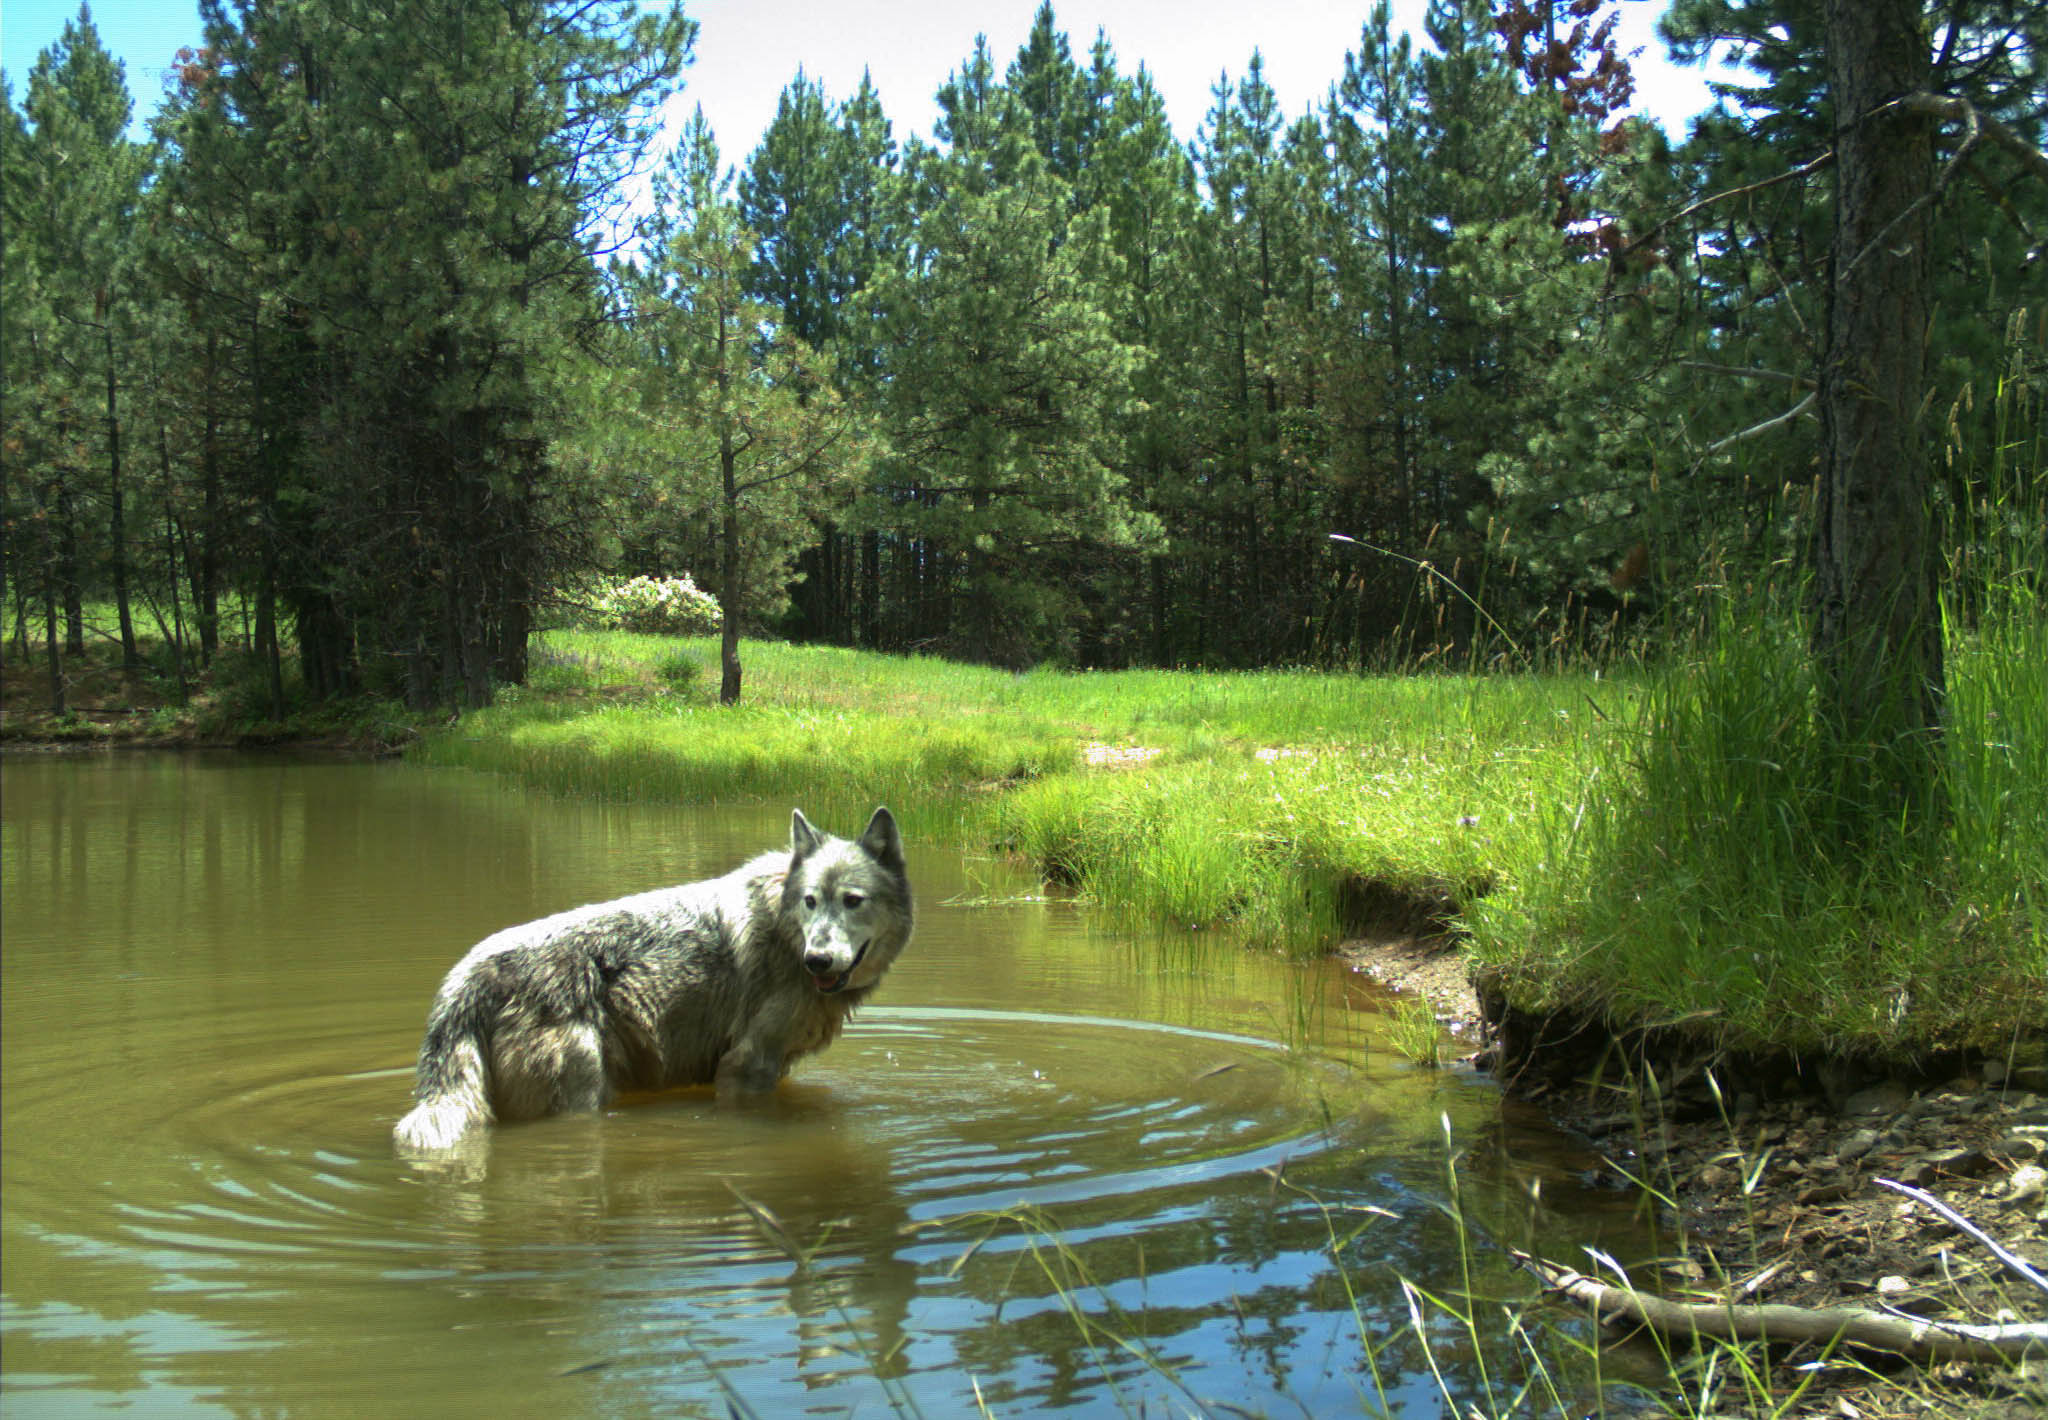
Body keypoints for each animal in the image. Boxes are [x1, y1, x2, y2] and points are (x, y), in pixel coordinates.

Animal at [393, 807, 911, 1153]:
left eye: (852, 901)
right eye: (810, 902)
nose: (817, 961)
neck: (786, 933)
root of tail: (466, 977)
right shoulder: (747, 1066)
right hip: (583, 1096)